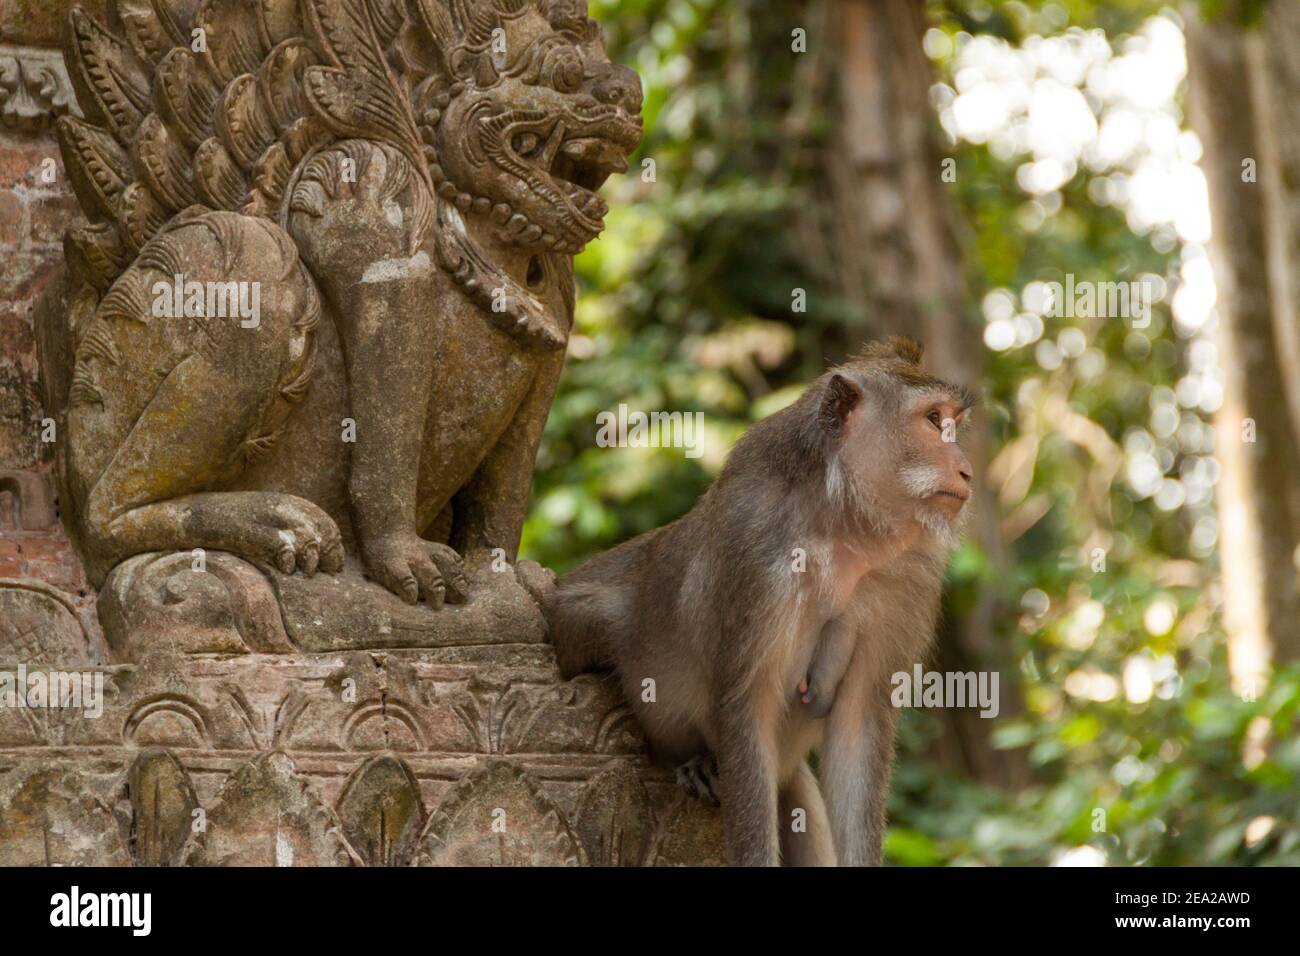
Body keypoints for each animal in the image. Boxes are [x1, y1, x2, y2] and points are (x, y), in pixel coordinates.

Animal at [546, 337, 974, 866]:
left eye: (952, 422)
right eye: (934, 420)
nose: (967, 470)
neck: (843, 531)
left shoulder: (912, 578)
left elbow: (858, 724)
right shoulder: (756, 551)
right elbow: (745, 707)